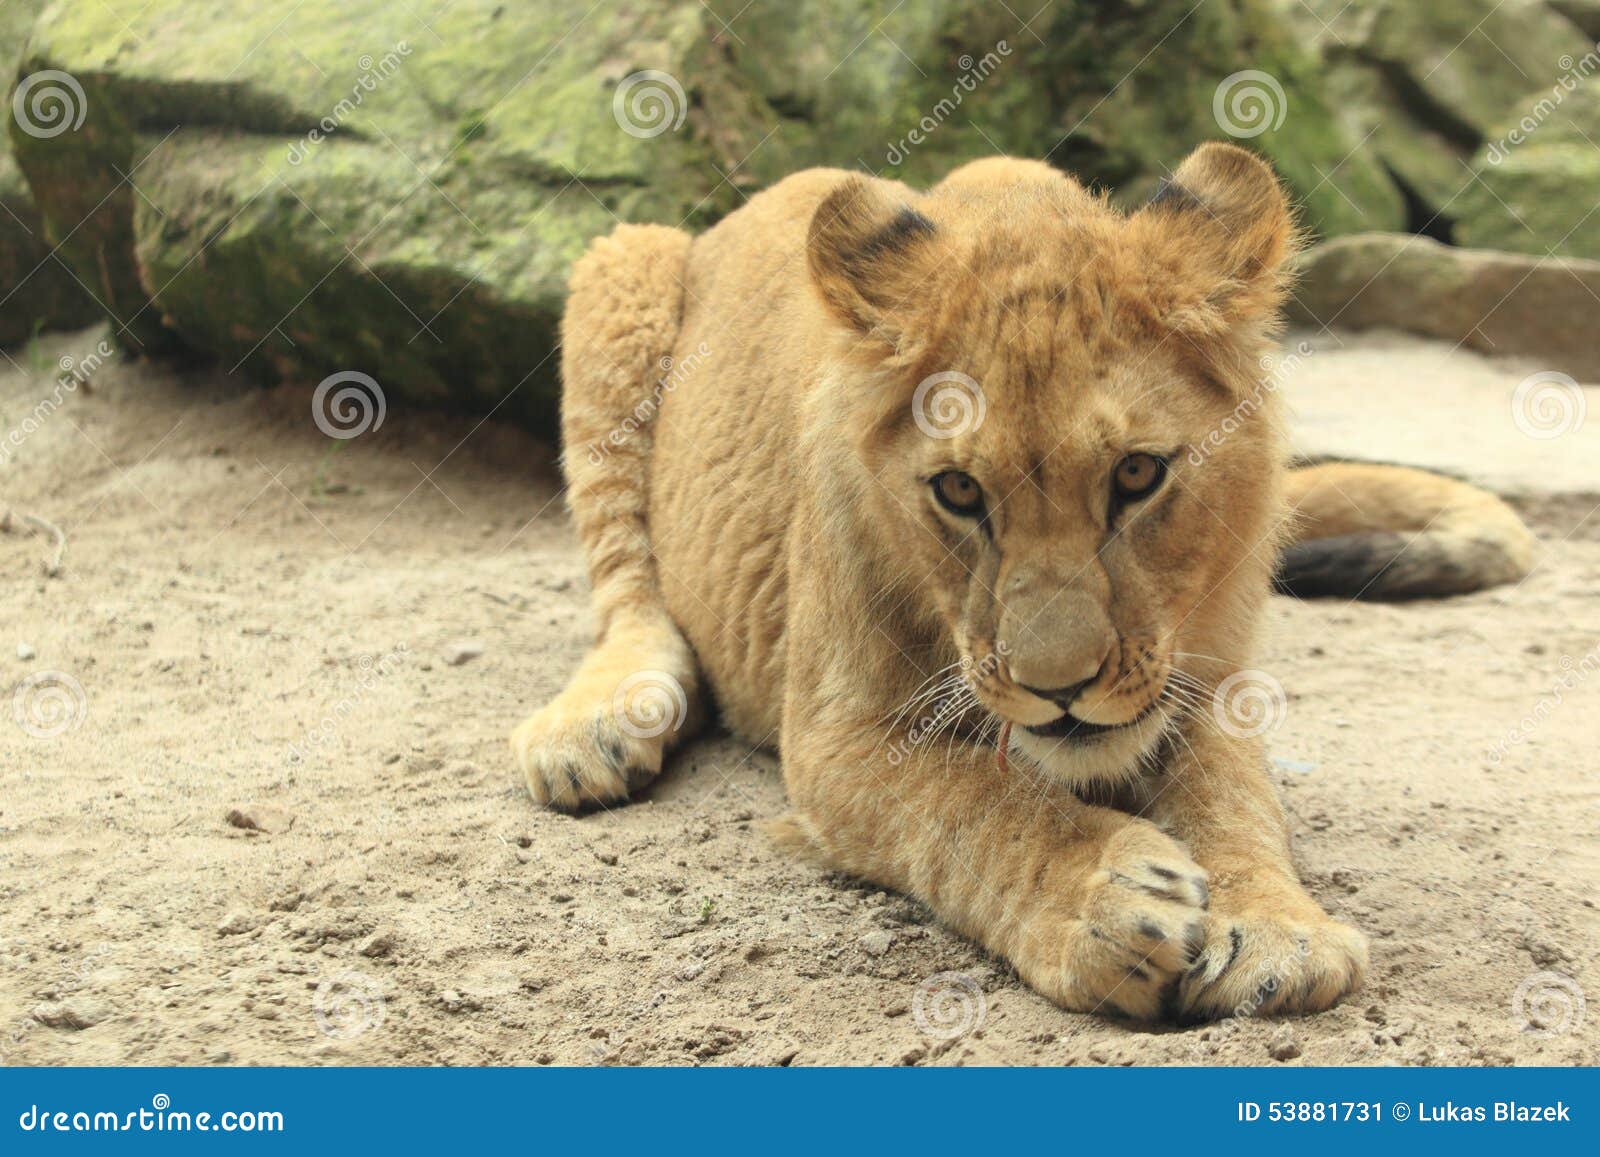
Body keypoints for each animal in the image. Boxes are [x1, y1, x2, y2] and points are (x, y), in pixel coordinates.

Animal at [510, 144, 1534, 1022]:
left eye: (1137, 474)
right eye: (959, 491)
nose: (1059, 689)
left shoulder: (1207, 681)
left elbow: (1234, 794)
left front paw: (1276, 928)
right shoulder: (833, 737)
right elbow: (972, 805)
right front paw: (1103, 900)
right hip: (620, 269)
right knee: (628, 585)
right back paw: (596, 726)